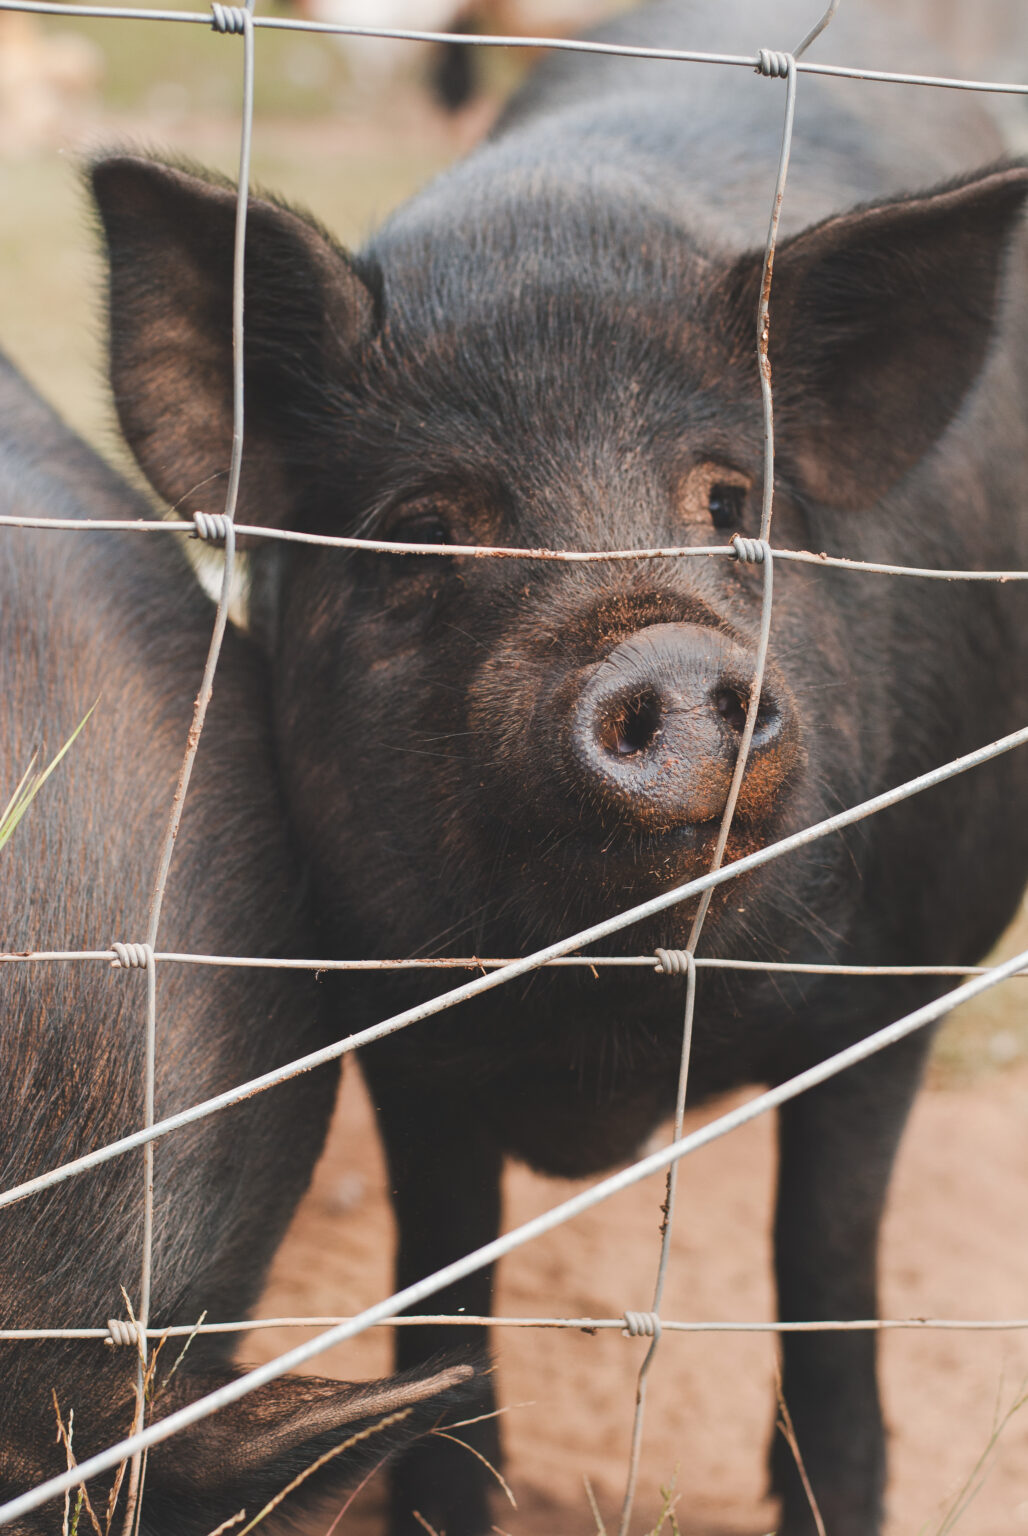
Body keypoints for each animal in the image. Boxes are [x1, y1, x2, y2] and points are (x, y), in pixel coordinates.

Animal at [90, 0, 1028, 1530]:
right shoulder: (387, 1010)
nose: (665, 656)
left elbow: (826, 1264)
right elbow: (445, 1277)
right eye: (419, 530)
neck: (607, 1039)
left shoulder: (901, 972)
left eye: (732, 502)